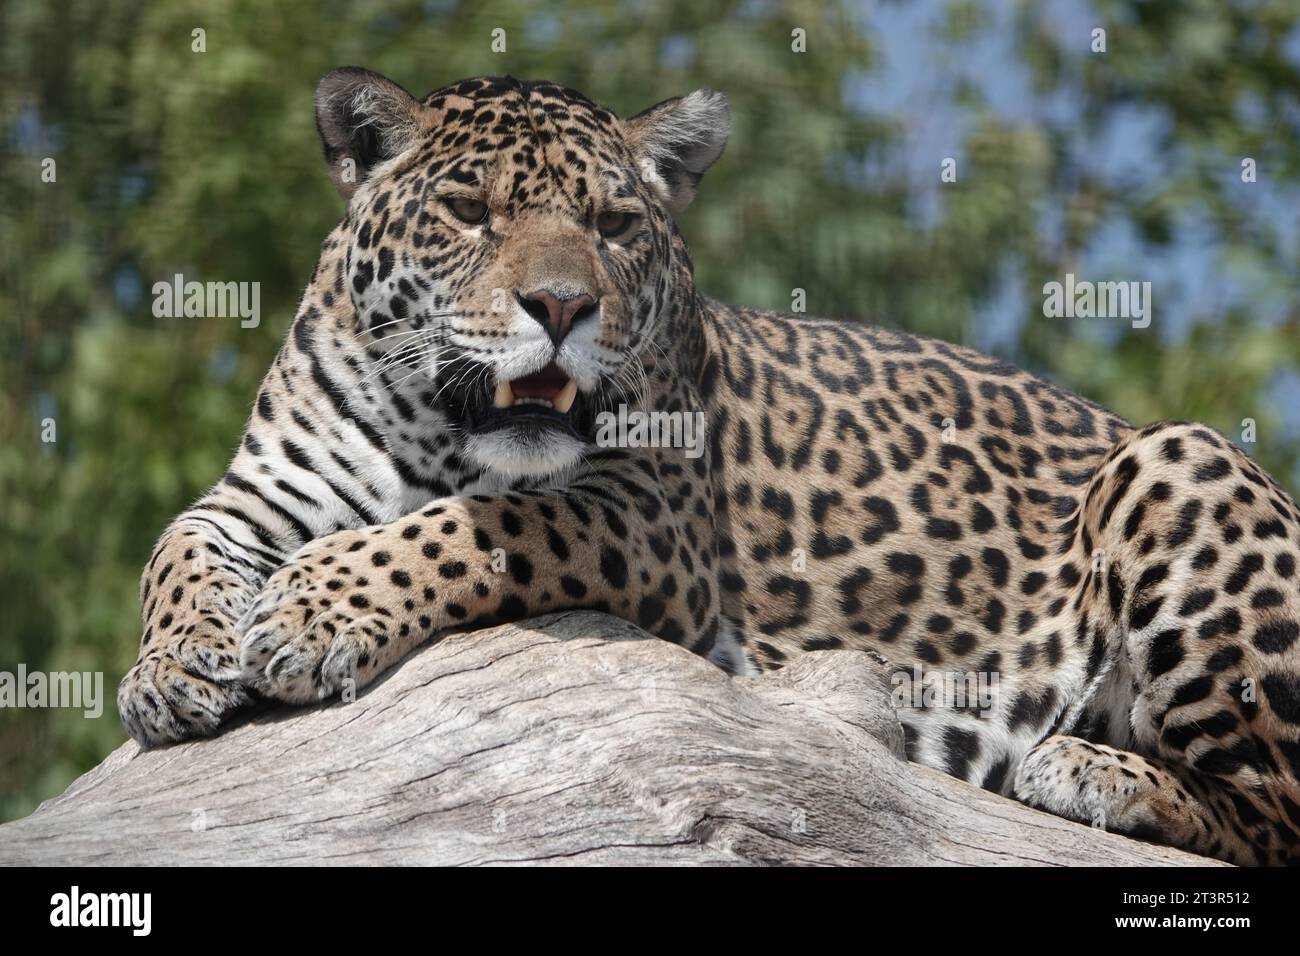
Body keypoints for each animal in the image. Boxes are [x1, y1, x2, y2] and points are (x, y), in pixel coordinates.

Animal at [117, 67, 1300, 865]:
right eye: (468, 212)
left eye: (612, 224)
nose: (560, 307)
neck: (438, 428)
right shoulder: (261, 490)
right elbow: (173, 548)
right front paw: (171, 670)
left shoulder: (646, 514)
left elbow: (467, 528)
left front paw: (310, 612)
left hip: (1179, 457)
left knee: (1276, 810)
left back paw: (1089, 769)